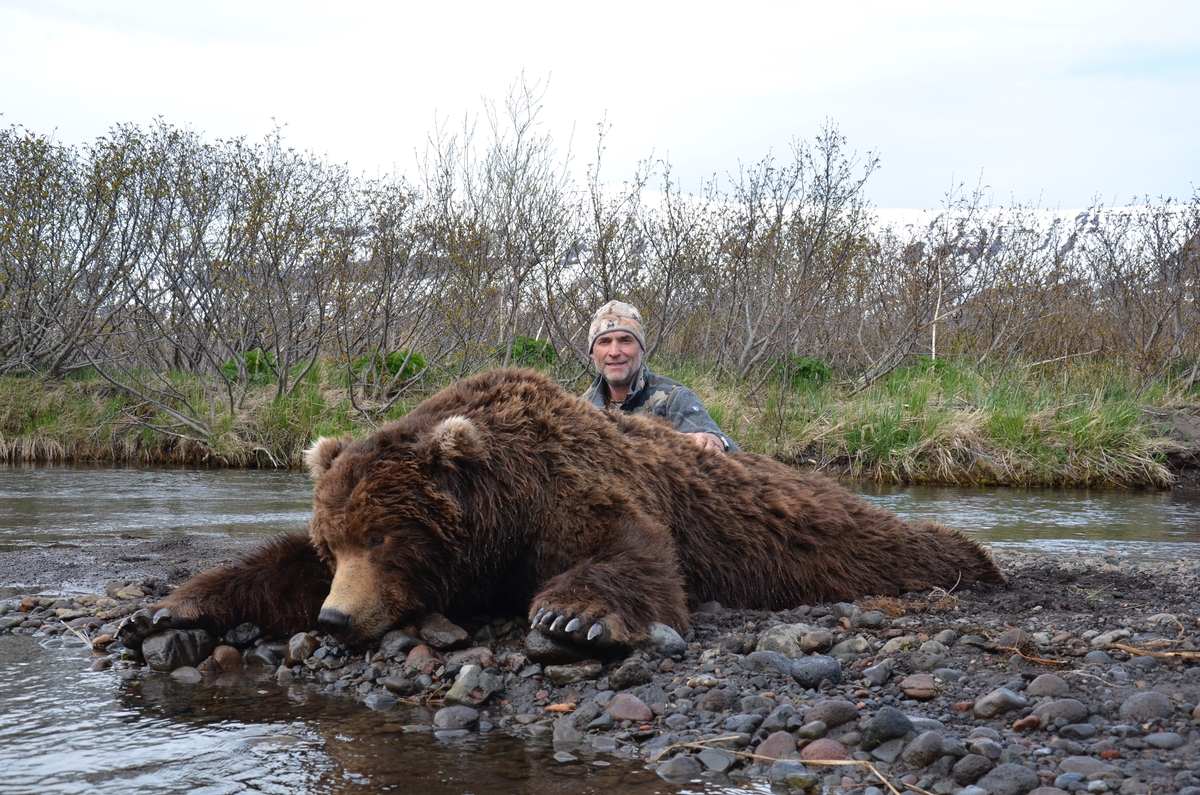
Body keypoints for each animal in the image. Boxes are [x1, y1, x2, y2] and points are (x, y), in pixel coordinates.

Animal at [159, 368, 1005, 647]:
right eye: (334, 542)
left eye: (387, 538)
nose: (336, 619)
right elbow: (270, 565)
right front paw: (173, 606)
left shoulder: (567, 492)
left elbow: (627, 547)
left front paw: (573, 616)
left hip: (847, 536)